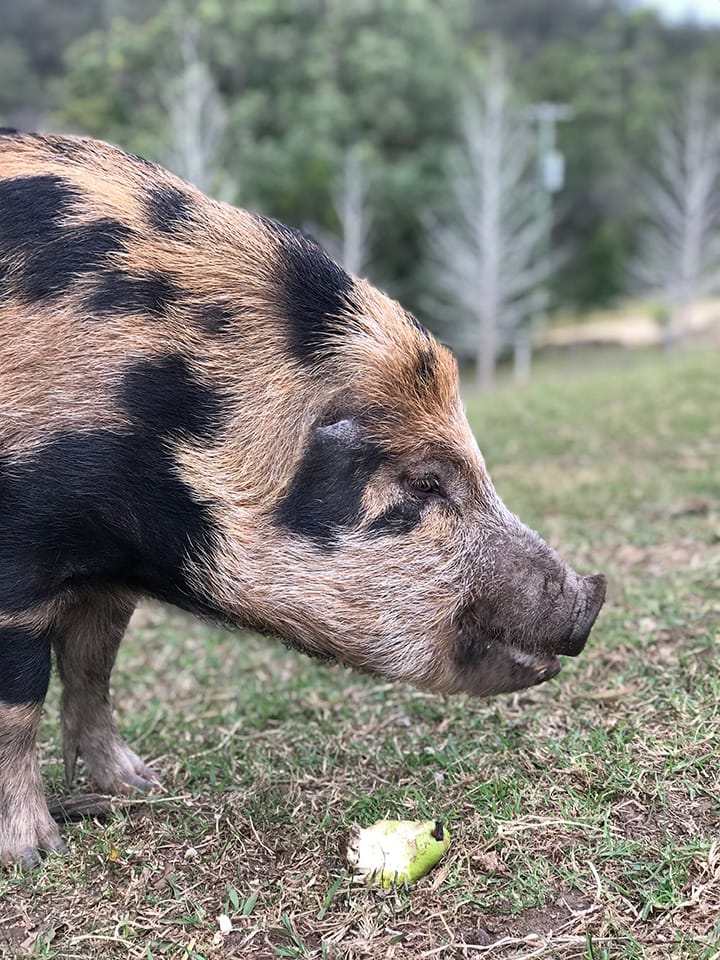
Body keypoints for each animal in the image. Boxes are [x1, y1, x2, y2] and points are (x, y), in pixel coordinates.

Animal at [0, 131, 606, 867]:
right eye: (426, 483)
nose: (592, 597)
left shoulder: (109, 573)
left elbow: (93, 671)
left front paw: (143, 784)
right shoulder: (21, 555)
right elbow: (19, 703)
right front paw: (35, 855)